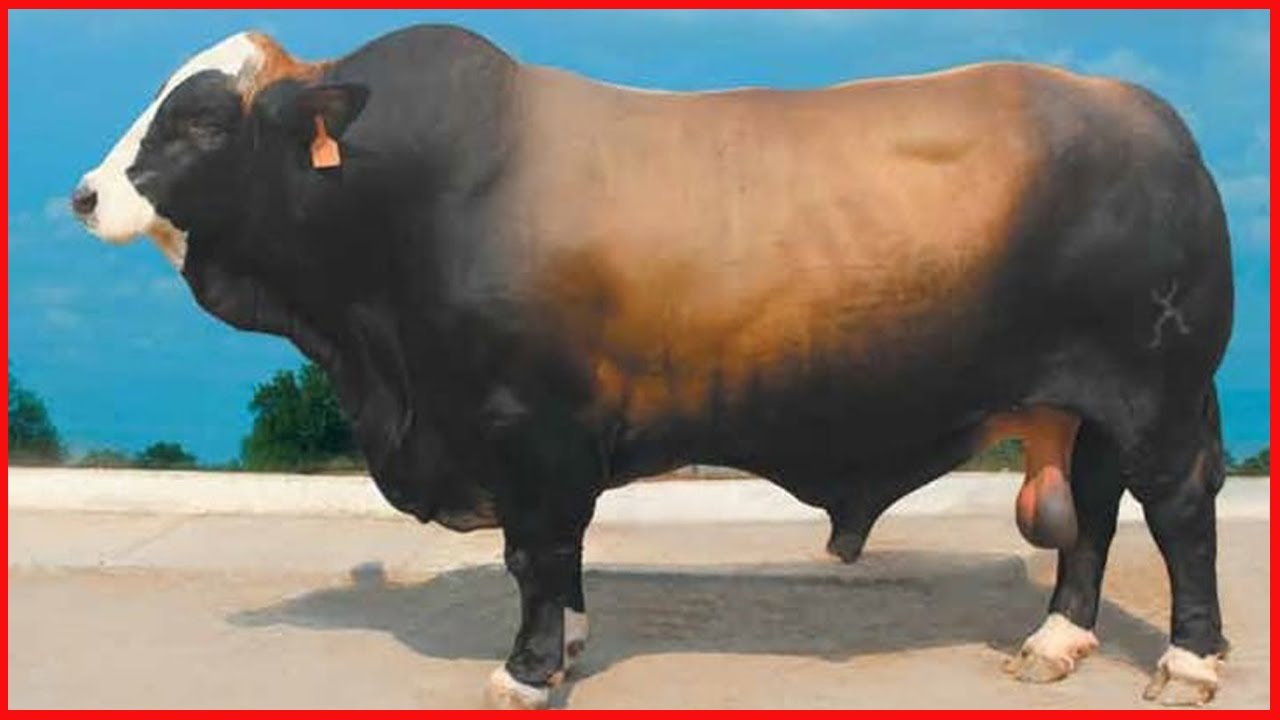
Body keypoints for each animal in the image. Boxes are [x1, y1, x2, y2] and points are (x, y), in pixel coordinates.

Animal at [72, 25, 1234, 708]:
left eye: (200, 118)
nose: (84, 195)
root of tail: (1145, 112)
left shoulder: (529, 427)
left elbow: (539, 554)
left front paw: (528, 670)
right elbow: (562, 557)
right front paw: (573, 643)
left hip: (1156, 391)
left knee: (1176, 509)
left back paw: (1186, 662)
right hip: (1087, 403)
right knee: (1091, 511)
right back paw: (1055, 643)